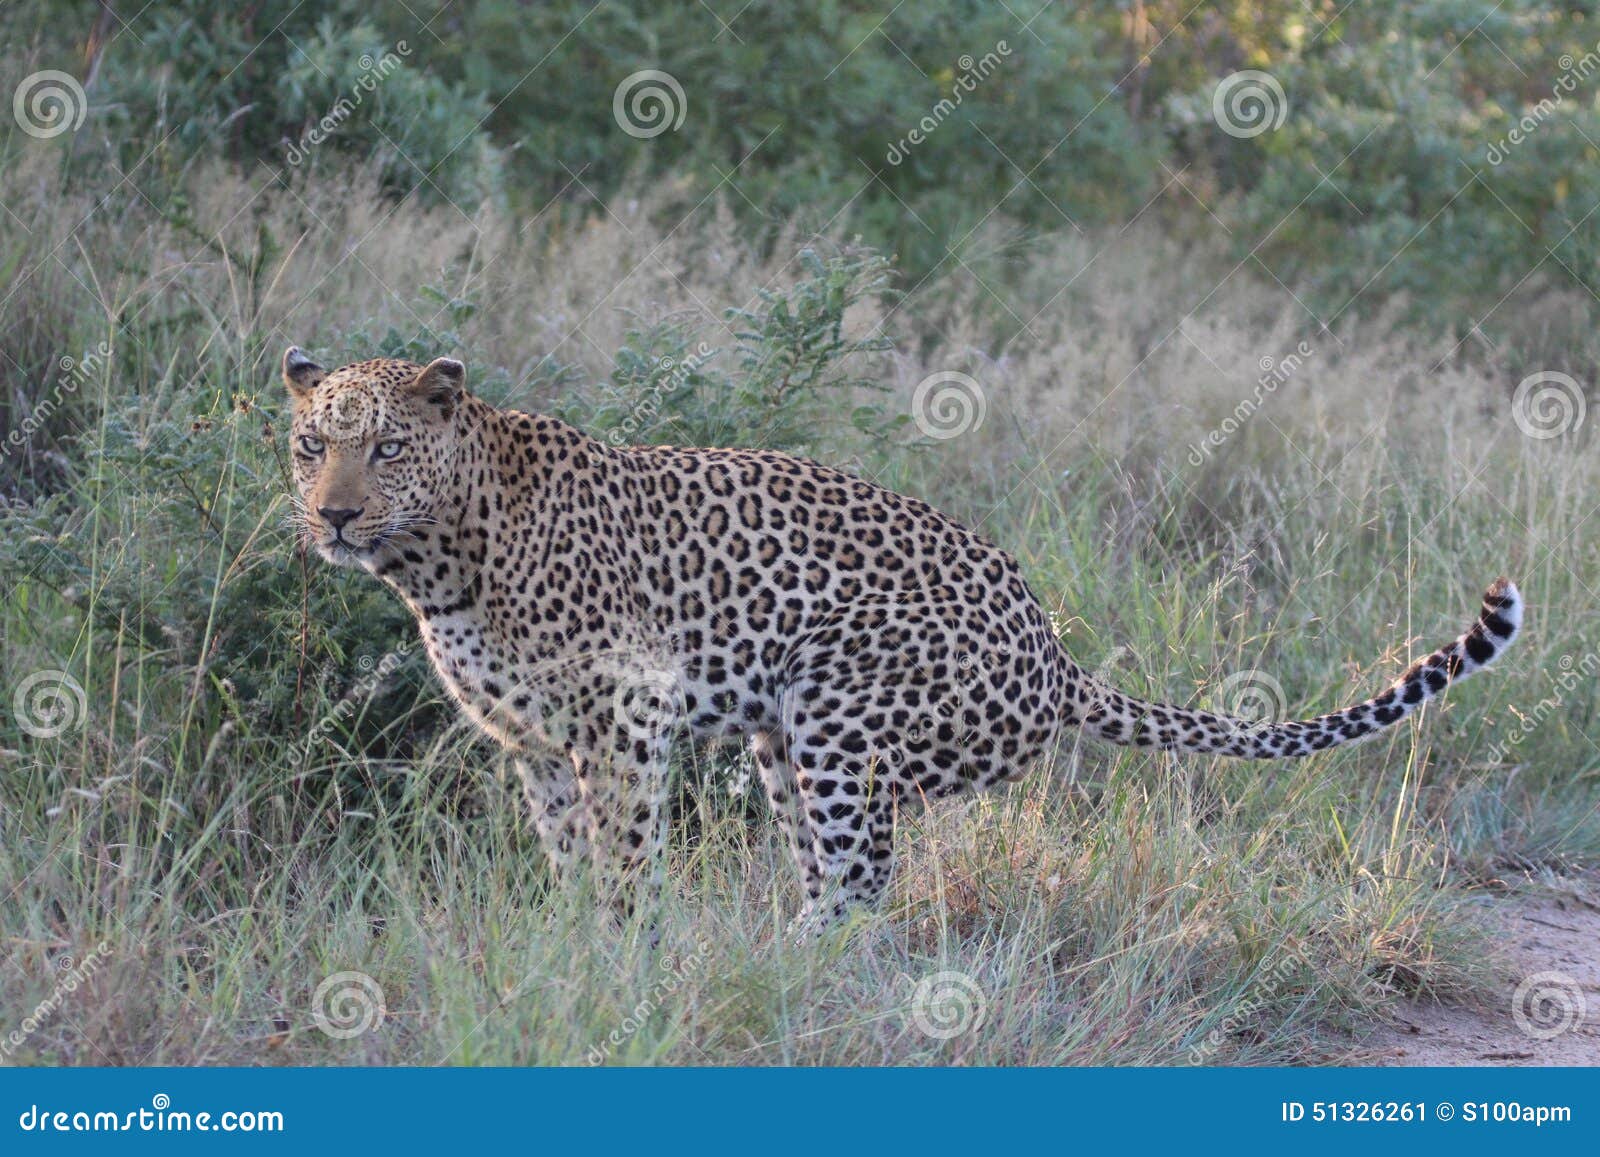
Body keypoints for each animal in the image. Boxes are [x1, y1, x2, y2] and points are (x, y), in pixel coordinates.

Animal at [281, 346, 1523, 930]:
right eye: (309, 444)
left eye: (387, 446)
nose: (333, 515)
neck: (442, 559)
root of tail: (1054, 651)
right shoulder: (538, 746)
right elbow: (570, 857)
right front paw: (576, 945)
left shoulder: (628, 720)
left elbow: (627, 861)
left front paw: (623, 956)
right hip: (781, 743)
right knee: (835, 874)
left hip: (841, 718)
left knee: (862, 877)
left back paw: (788, 971)